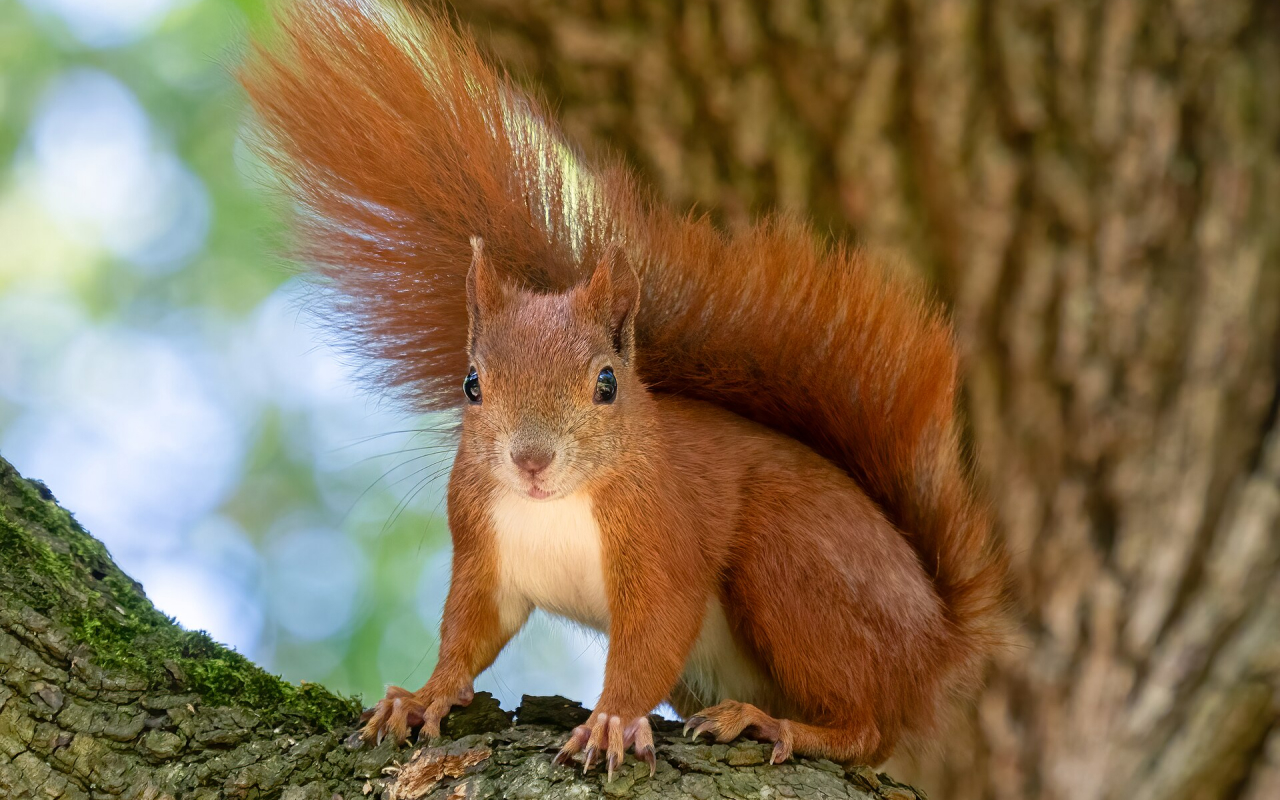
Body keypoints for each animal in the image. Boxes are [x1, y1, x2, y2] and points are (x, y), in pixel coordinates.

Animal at [242, 0, 1008, 777]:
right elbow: (469, 631)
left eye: (607, 383)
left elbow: (653, 635)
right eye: (471, 384)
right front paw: (421, 697)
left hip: (794, 568)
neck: (554, 506)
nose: (531, 461)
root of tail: (936, 640)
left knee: (869, 730)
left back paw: (771, 723)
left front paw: (610, 719)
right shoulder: (483, 548)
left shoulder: (664, 535)